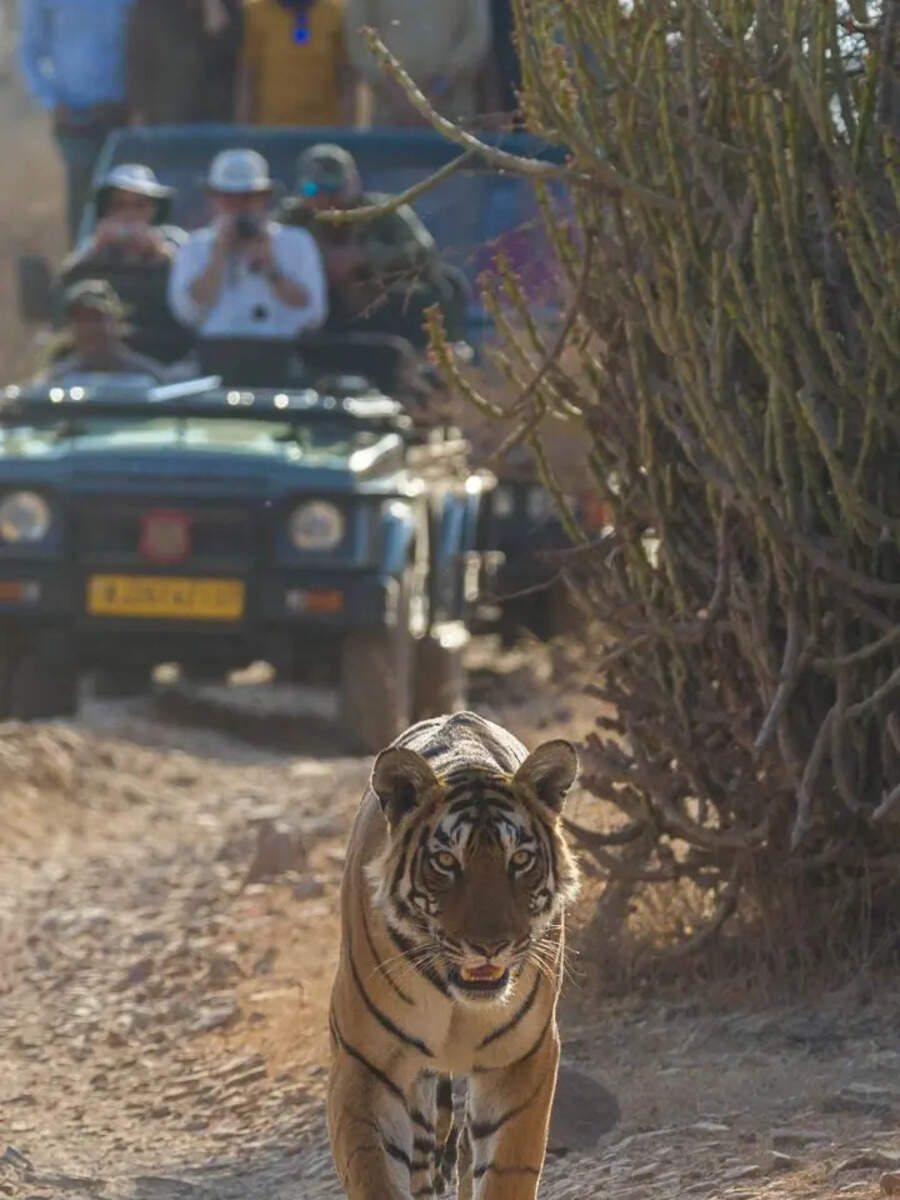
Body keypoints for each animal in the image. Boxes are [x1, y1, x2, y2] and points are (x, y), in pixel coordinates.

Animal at [327, 710, 580, 1199]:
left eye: (520, 860)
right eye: (446, 862)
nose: (490, 945)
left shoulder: (522, 1059)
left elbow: (505, 1172)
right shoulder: (364, 1063)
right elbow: (375, 1173)